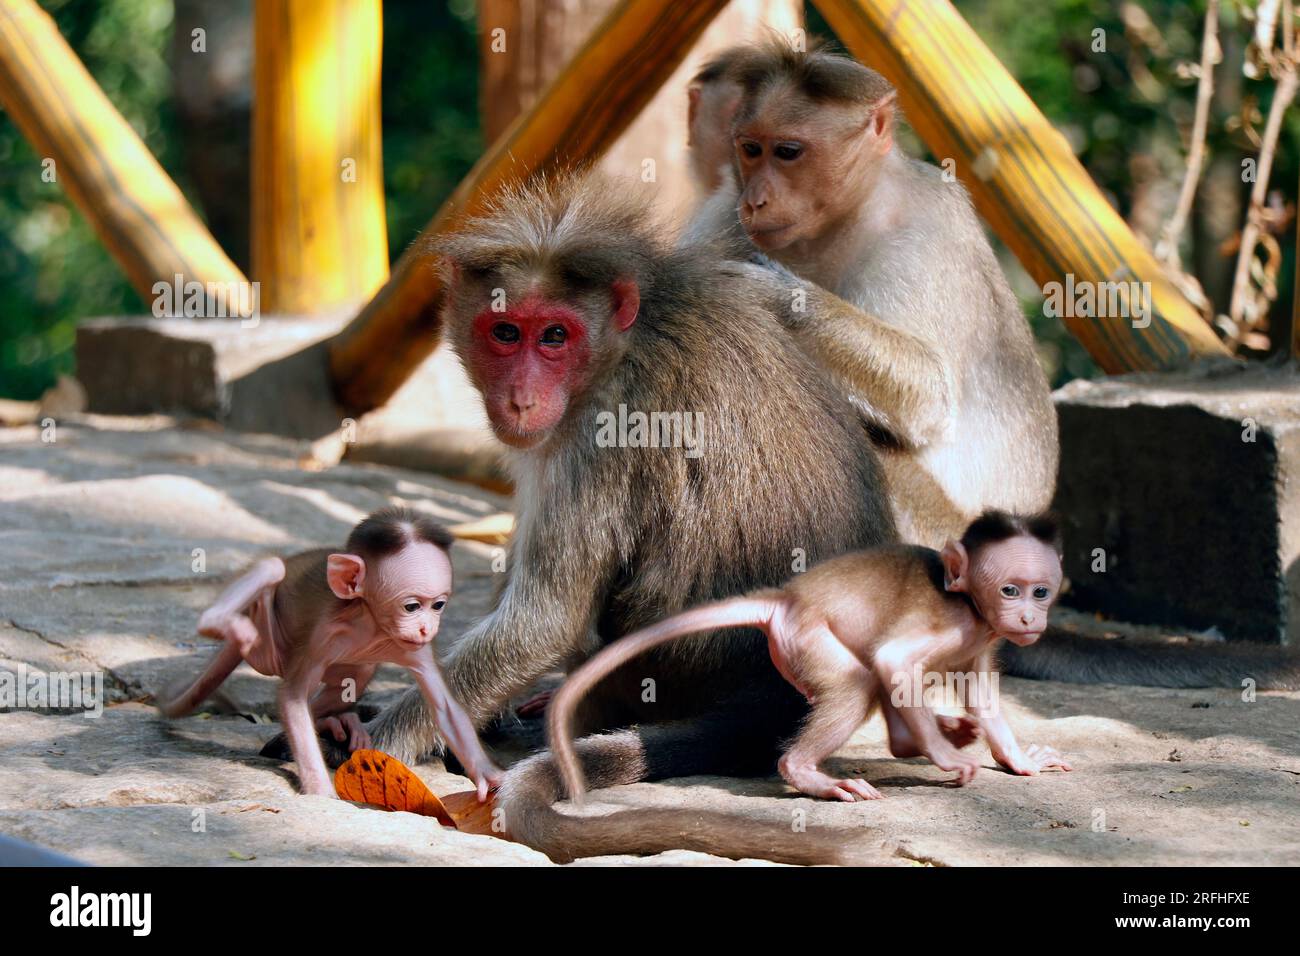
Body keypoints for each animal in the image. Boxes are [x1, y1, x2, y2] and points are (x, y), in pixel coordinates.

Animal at [157, 507, 502, 800]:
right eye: (412, 606)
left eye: (438, 605)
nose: (426, 628)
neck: (369, 620)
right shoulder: (321, 635)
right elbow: (292, 698)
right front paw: (320, 789)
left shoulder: (414, 648)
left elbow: (445, 708)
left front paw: (487, 776)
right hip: (263, 642)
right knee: (272, 568)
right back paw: (219, 621)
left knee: (357, 675)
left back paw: (335, 722)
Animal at [349, 172, 896, 864]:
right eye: (506, 332)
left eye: (555, 336)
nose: (520, 398)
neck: (619, 346)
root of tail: (773, 702)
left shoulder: (602, 427)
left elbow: (543, 621)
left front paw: (367, 740)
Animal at [549, 510, 1072, 806]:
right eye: (1010, 590)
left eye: (1041, 592)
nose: (1029, 617)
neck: (973, 607)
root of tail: (786, 598)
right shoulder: (956, 623)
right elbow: (895, 660)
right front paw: (947, 759)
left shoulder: (982, 640)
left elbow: (982, 700)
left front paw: (1019, 759)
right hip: (805, 637)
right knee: (859, 681)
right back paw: (805, 771)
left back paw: (914, 739)